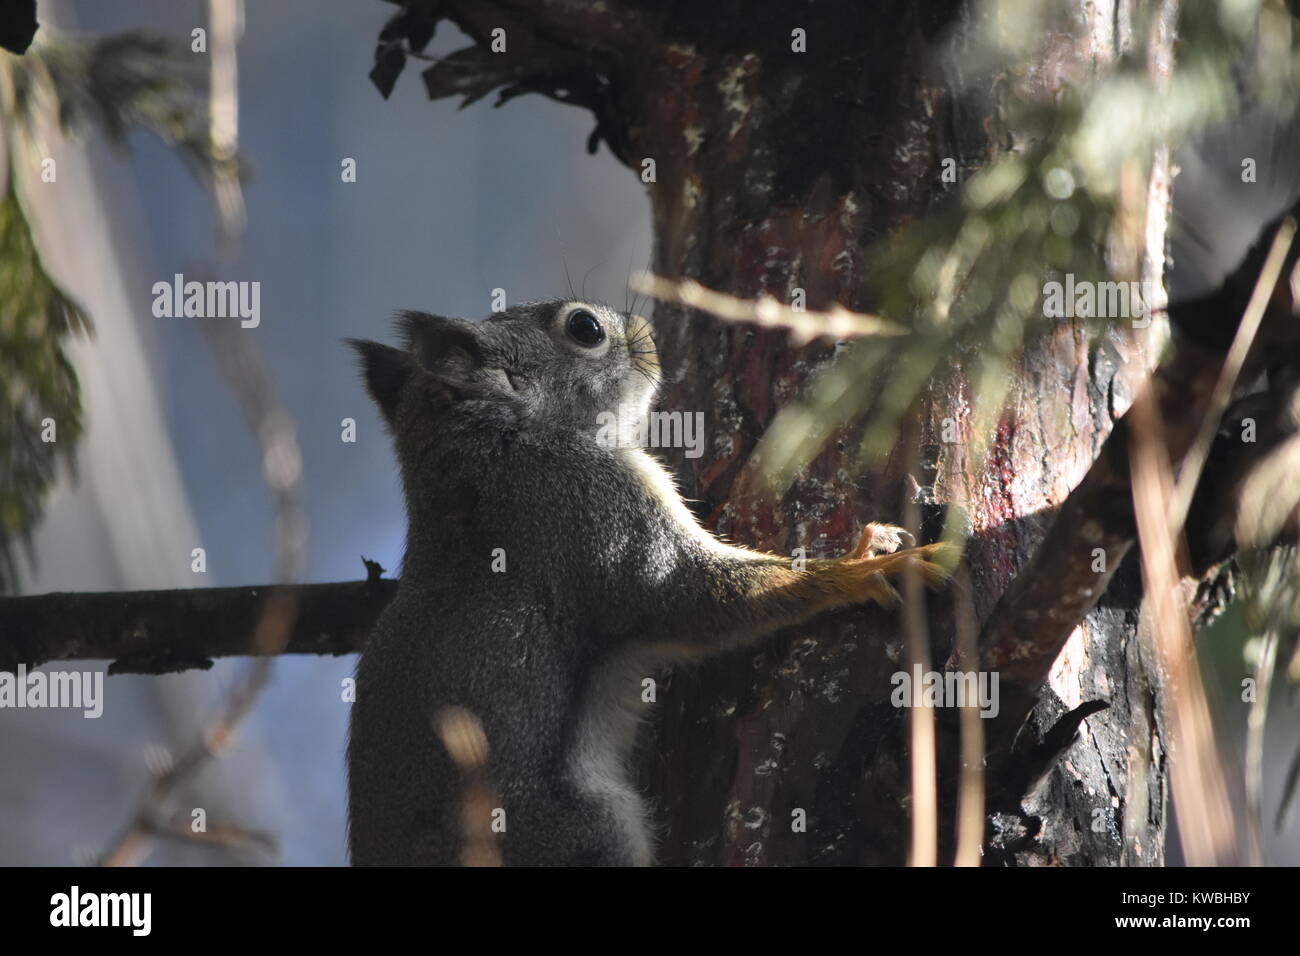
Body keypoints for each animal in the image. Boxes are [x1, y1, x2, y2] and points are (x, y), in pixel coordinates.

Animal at [345, 299, 951, 866]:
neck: (498, 446)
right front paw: (862, 568)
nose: (650, 334)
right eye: (585, 328)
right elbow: (694, 596)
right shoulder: (597, 511)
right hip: (583, 831)